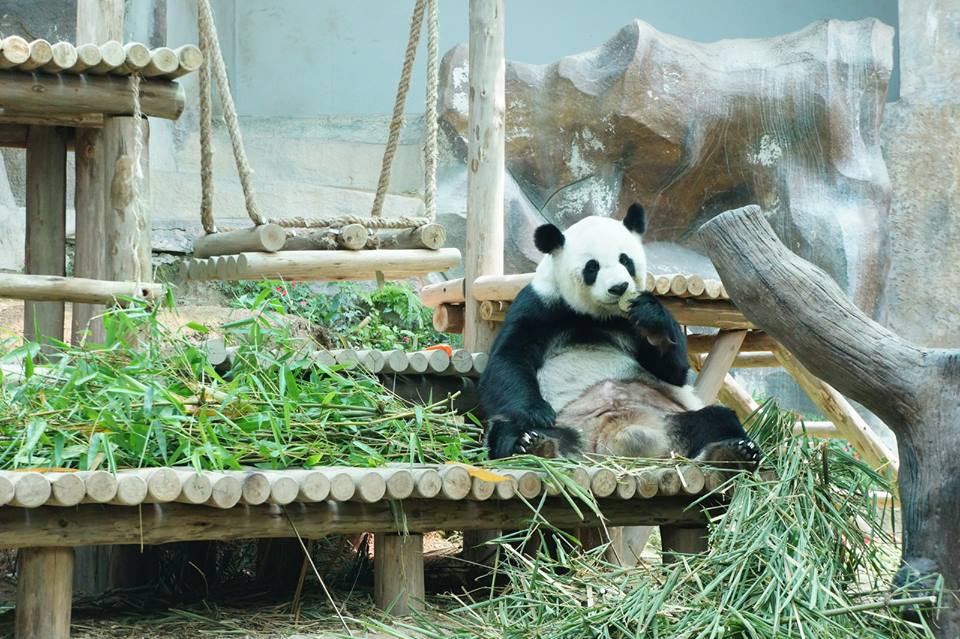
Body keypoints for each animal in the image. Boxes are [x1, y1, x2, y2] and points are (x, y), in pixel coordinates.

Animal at [479, 203, 760, 467]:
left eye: (625, 260)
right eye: (592, 267)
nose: (619, 287)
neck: (596, 315)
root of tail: (619, 436)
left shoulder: (629, 320)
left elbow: (674, 372)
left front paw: (652, 322)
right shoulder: (541, 305)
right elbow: (508, 358)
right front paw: (537, 412)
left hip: (672, 415)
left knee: (718, 419)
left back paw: (735, 452)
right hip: (568, 424)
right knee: (508, 429)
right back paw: (533, 444)